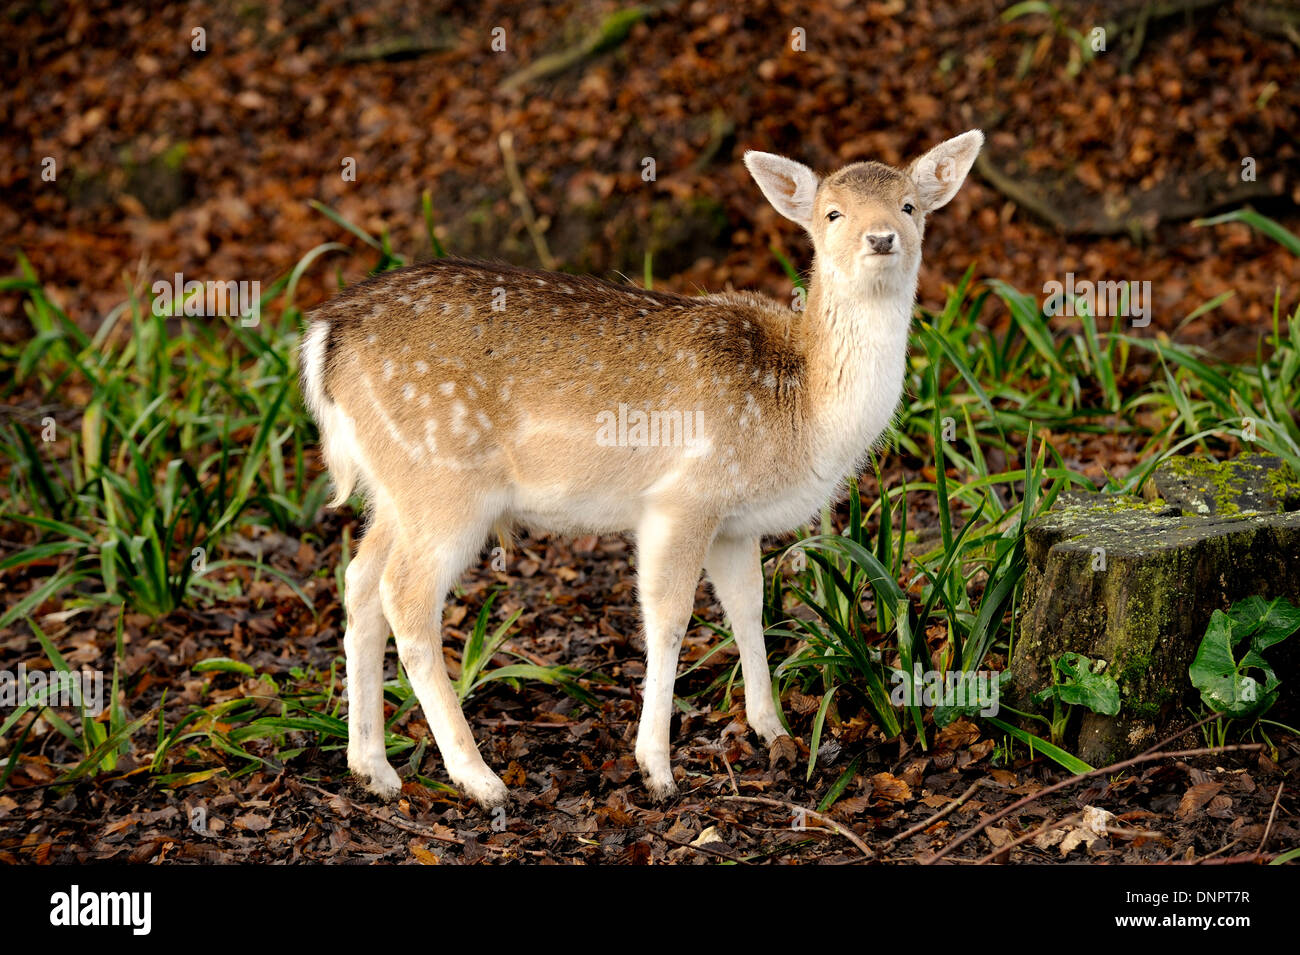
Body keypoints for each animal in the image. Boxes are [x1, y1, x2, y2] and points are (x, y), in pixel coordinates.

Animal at [299, 131, 983, 807]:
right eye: (832, 213)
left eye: (909, 206)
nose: (882, 237)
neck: (805, 410)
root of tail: (324, 336)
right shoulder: (683, 498)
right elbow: (669, 620)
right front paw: (656, 768)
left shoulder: (734, 522)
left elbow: (749, 607)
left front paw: (773, 729)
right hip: (445, 484)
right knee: (405, 598)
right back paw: (479, 778)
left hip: (395, 489)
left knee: (359, 581)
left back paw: (373, 768)